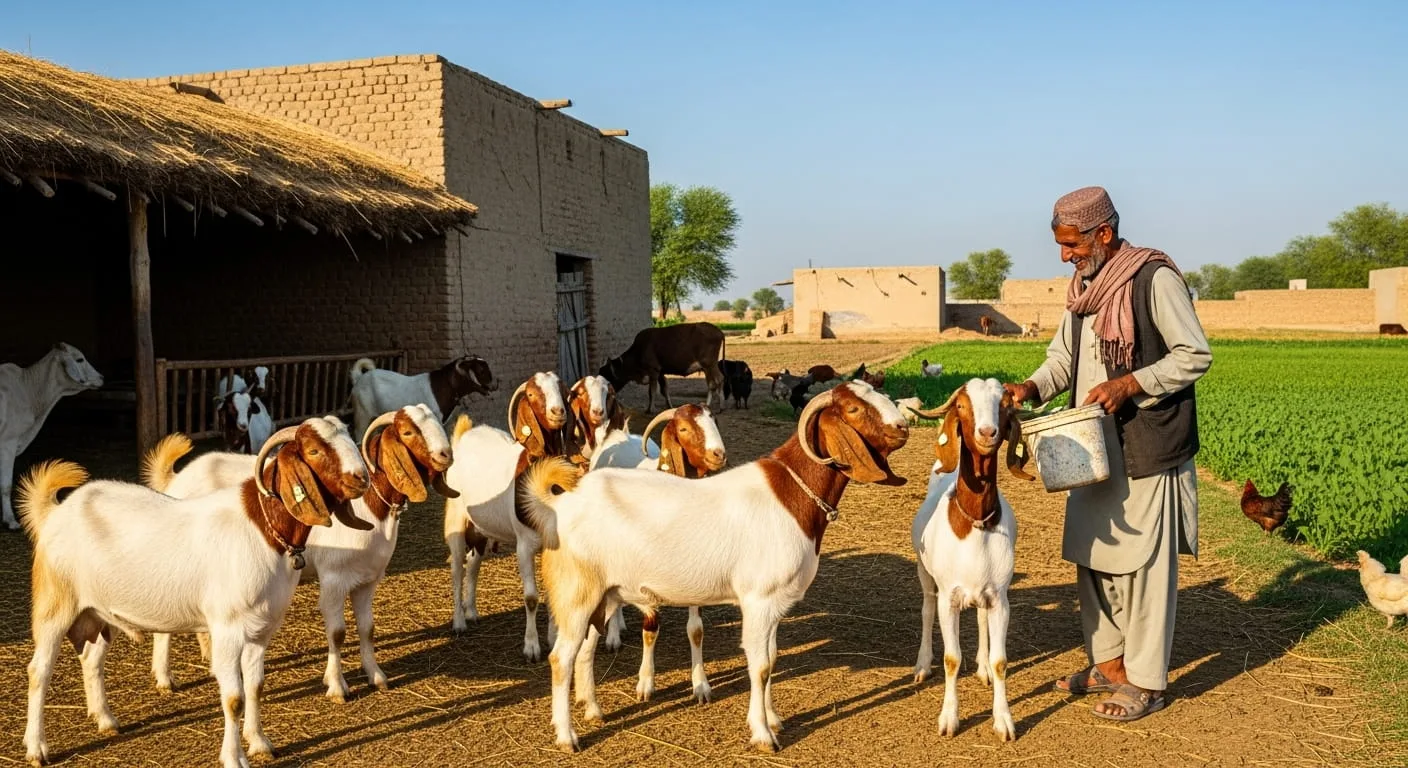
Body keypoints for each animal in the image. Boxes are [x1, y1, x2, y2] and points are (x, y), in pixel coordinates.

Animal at [16, 416, 371, 768]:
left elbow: (255, 687)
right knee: (38, 671)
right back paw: (36, 748)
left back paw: (105, 720)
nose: (362, 479)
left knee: (92, 658)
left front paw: (260, 743)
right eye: (313, 450)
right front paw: (234, 758)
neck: (262, 529)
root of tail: (55, 511)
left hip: (100, 611)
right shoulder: (227, 629)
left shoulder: (261, 629)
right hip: (55, 606)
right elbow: (234, 699)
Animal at [142, 405, 457, 701]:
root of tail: (176, 480)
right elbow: (337, 632)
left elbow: (368, 627)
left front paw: (376, 676)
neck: (372, 508)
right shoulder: (333, 578)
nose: (446, 455)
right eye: (408, 432)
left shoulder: (368, 579)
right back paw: (165, 678)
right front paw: (337, 686)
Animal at [515, 380, 910, 752]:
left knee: (585, 651)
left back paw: (594, 711)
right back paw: (567, 736)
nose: (903, 426)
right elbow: (760, 666)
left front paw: (774, 719)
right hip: (577, 594)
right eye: (853, 408)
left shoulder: (775, 604)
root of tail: (560, 506)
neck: (792, 495)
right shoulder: (758, 599)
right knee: (561, 658)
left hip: (605, 596)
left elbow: (772, 659)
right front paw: (762, 734)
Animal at [907, 379, 1034, 742]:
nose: (987, 432)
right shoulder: (949, 597)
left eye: (1004, 404)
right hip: (925, 572)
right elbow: (951, 659)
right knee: (926, 609)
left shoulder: (1000, 598)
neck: (975, 522)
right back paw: (922, 665)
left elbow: (1001, 660)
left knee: (979, 619)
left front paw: (1004, 720)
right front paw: (949, 718)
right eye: (962, 406)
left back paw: (980, 666)